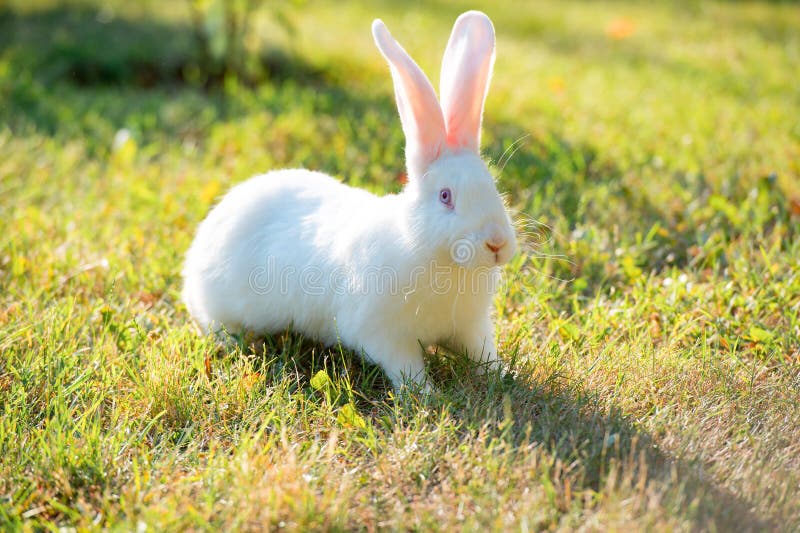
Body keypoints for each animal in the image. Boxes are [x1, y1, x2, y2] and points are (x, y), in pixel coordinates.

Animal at [182, 11, 517, 390]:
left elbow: (483, 354)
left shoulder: (471, 329)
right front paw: (425, 393)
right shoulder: (384, 335)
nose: (497, 243)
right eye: (446, 197)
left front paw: (504, 375)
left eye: (494, 186)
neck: (429, 252)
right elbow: (405, 367)